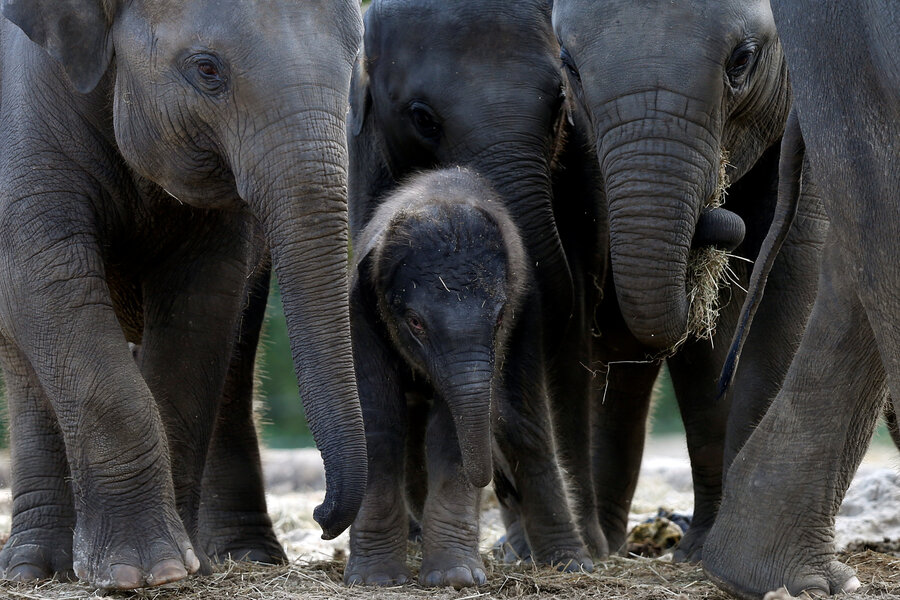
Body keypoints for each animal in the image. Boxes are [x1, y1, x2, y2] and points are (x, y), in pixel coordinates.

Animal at [0, 0, 366, 589]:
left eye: (355, 67)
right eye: (207, 70)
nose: (321, 518)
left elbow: (203, 309)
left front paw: (182, 569)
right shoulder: (22, 116)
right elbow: (44, 275)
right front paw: (144, 572)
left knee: (235, 356)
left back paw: (245, 557)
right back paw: (33, 569)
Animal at [346, 168, 527, 589]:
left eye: (498, 318)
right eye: (415, 322)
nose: (497, 483)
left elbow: (450, 431)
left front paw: (455, 579)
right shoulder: (359, 308)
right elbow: (377, 418)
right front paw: (377, 581)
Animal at [550, 0, 828, 560]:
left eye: (742, 60)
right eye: (568, 63)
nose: (717, 218)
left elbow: (787, 293)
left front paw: (727, 550)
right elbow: (698, 354)